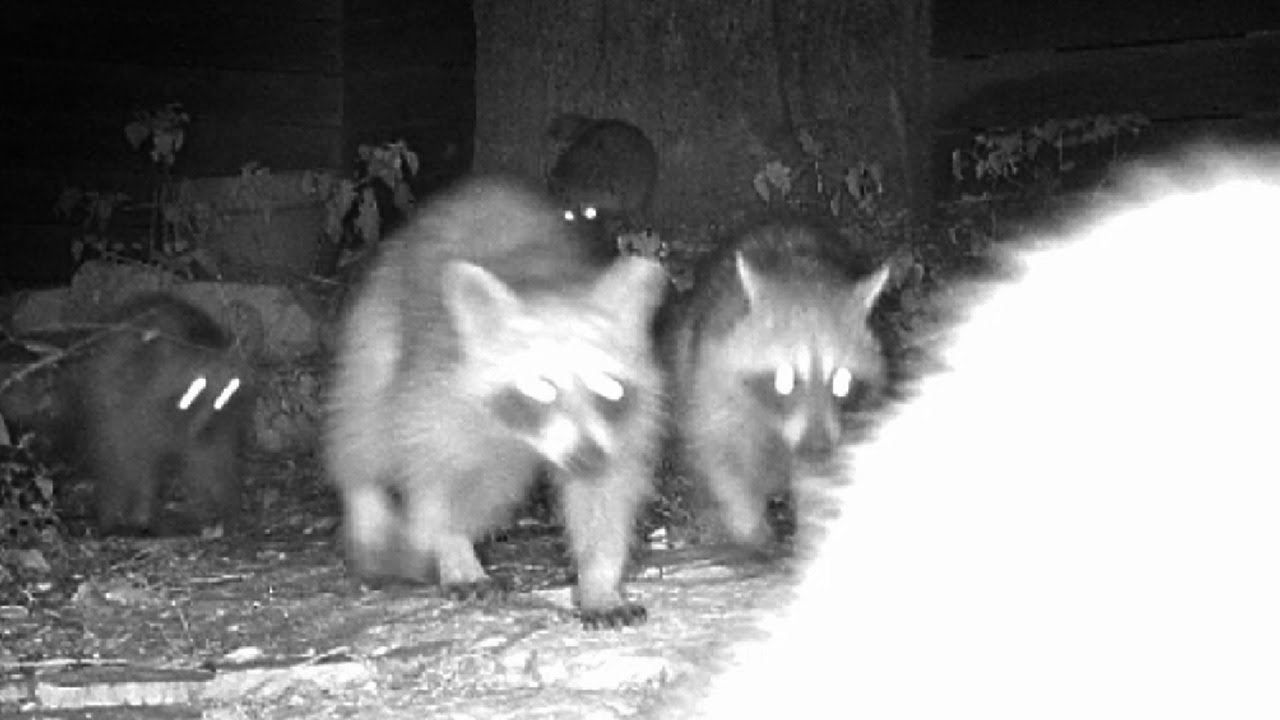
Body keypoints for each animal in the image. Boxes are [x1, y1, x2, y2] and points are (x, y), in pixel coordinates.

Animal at [67, 292, 253, 536]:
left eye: (230, 387)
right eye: (197, 386)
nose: (203, 425)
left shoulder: (221, 423)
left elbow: (212, 462)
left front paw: (223, 505)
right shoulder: (139, 402)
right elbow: (133, 461)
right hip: (107, 406)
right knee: (122, 461)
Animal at [325, 175, 668, 628]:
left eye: (608, 388)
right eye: (541, 387)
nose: (587, 456)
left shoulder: (622, 425)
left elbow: (606, 495)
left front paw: (600, 579)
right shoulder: (437, 390)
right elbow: (435, 474)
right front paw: (452, 547)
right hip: (377, 328)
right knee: (366, 427)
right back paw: (366, 502)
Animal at [668, 222, 889, 548]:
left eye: (842, 381)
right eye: (784, 378)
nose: (816, 450)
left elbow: (824, 480)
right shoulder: (716, 386)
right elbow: (724, 464)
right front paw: (749, 529)